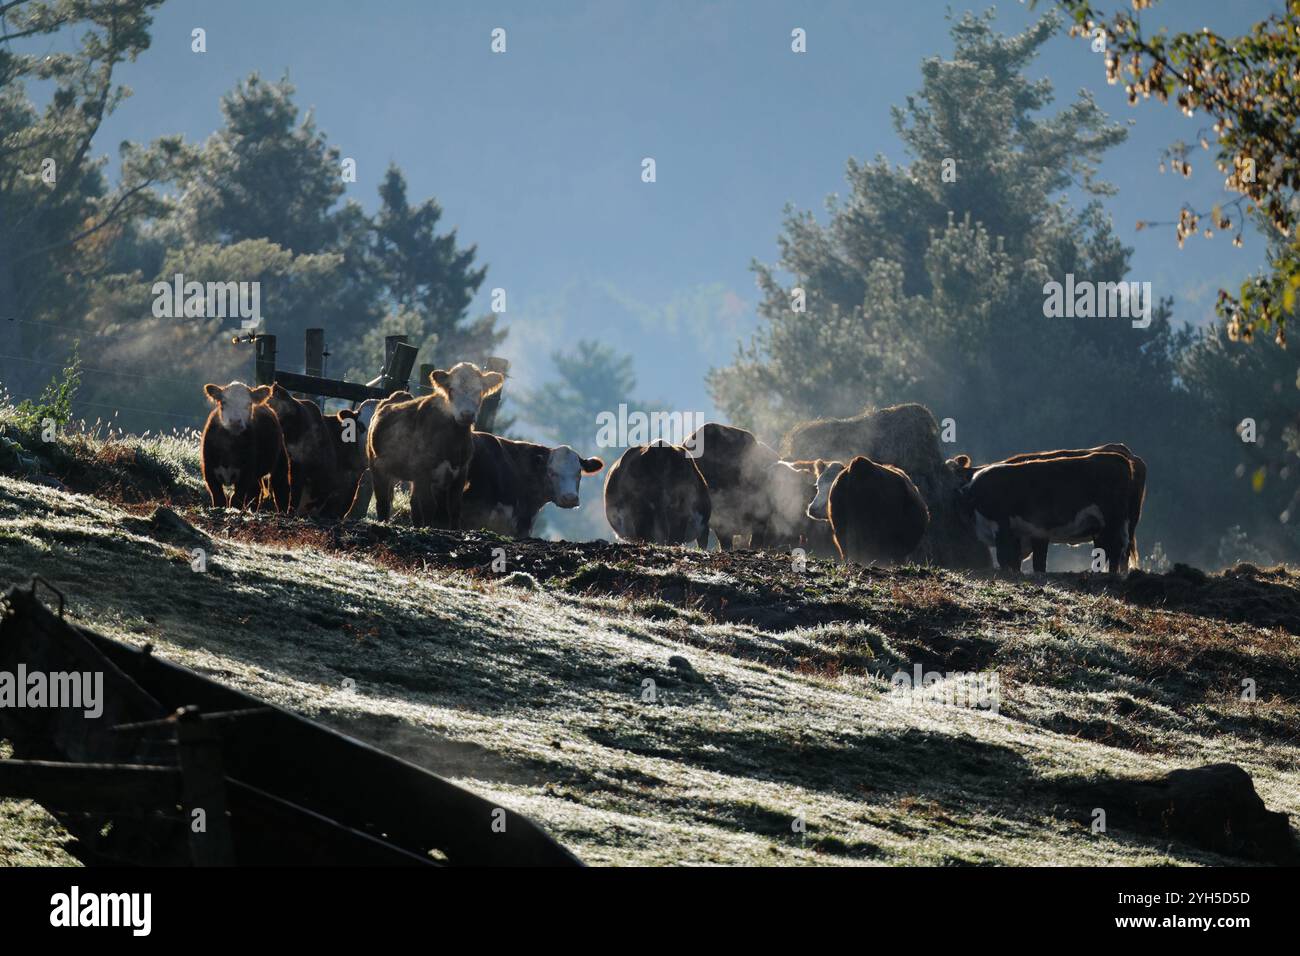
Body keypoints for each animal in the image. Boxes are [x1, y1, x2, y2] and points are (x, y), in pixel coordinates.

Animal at [201, 382, 290, 511]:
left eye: (249, 403)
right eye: (223, 402)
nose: (235, 421)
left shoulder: (246, 473)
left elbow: (235, 498)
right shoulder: (209, 471)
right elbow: (219, 498)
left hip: (280, 459)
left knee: (281, 488)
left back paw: (282, 512)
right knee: (257, 490)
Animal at [367, 363, 503, 527]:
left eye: (480, 391)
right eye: (451, 390)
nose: (467, 415)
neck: (453, 443)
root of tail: (394, 397)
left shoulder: (461, 472)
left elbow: (454, 508)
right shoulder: (423, 471)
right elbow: (429, 505)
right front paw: (427, 528)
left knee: (410, 503)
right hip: (377, 466)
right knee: (383, 502)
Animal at [948, 442, 1145, 569]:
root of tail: (1120, 457)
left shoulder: (1005, 528)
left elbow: (1010, 561)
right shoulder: (1030, 534)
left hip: (1115, 520)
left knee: (1116, 550)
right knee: (1107, 551)